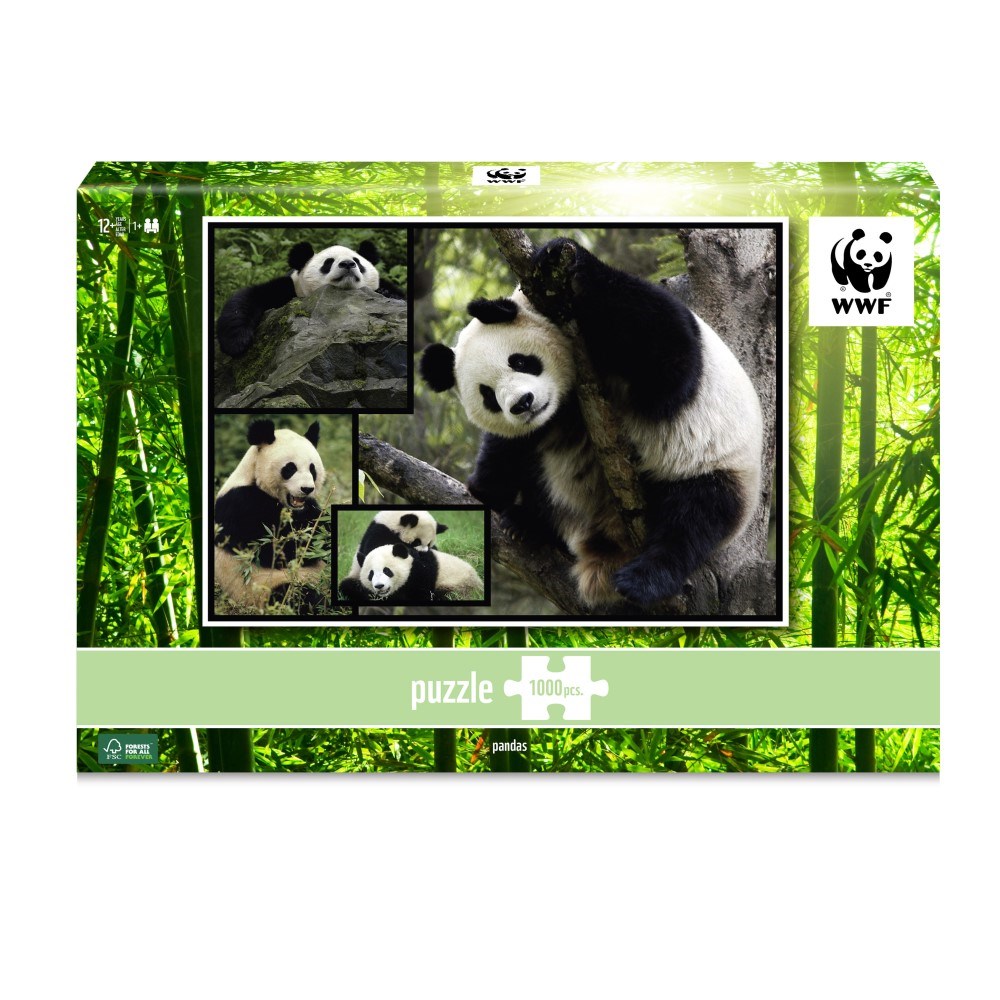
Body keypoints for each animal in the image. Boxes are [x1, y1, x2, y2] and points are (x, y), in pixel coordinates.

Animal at [214, 418, 329, 612]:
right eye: (290, 468)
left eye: (312, 469)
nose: (307, 489)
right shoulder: (240, 506)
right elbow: (273, 550)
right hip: (261, 590)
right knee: (297, 595)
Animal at [216, 238, 404, 358]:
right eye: (328, 262)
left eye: (357, 261)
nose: (348, 264)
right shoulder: (290, 288)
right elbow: (249, 297)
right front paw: (237, 343)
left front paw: (388, 294)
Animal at [340, 543, 483, 604]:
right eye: (371, 574)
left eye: (387, 571)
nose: (379, 586)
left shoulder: (421, 574)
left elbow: (414, 596)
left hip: (460, 586)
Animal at [419, 237, 764, 611]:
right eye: (488, 396)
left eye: (520, 361)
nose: (523, 403)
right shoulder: (542, 422)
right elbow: (507, 448)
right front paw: (485, 490)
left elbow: (669, 360)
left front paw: (559, 256)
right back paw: (529, 525)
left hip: (716, 465)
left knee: (695, 517)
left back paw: (643, 579)